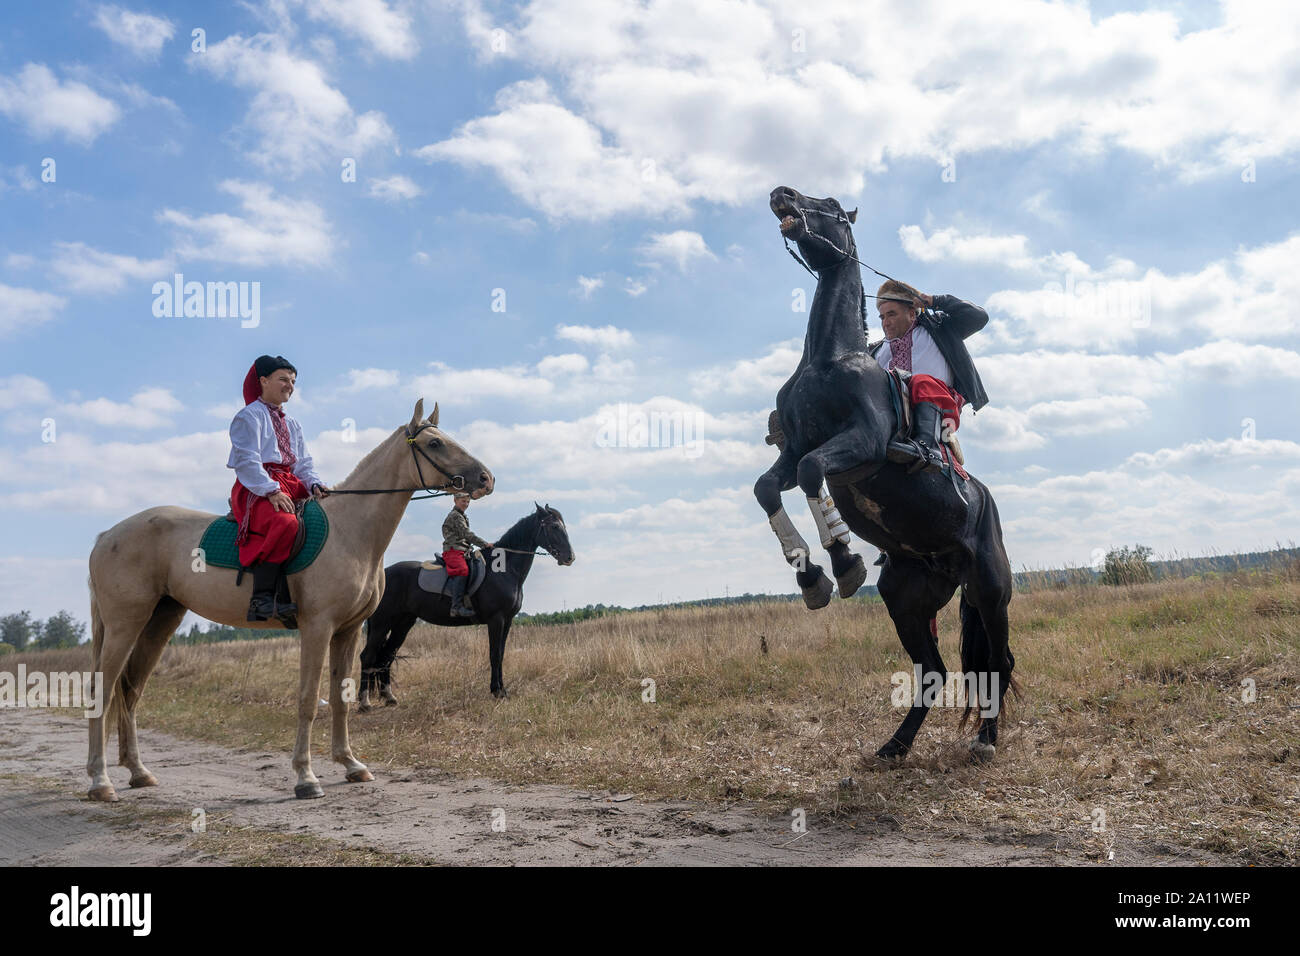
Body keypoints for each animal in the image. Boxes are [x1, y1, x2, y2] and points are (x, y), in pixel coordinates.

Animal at [86, 399, 494, 801]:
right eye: (435, 444)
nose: (486, 479)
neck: (350, 532)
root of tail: (108, 535)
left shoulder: (347, 631)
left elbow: (341, 697)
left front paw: (351, 764)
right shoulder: (317, 628)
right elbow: (309, 699)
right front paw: (305, 776)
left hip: (160, 621)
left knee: (130, 690)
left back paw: (138, 772)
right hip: (125, 625)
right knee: (103, 691)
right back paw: (100, 781)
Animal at [357, 503, 575, 706]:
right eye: (554, 526)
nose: (570, 557)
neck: (503, 569)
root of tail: (379, 577)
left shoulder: (508, 621)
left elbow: (501, 653)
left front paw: (503, 690)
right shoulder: (496, 620)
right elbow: (495, 654)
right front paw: (497, 691)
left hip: (403, 623)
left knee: (386, 655)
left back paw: (389, 696)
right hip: (381, 623)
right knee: (368, 656)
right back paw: (364, 702)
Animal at [753, 186, 1016, 763]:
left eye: (830, 206)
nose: (782, 194)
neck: (831, 360)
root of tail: (983, 500)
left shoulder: (864, 446)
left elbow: (811, 471)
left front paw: (843, 561)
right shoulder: (797, 447)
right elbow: (769, 486)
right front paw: (810, 575)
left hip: (989, 588)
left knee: (997, 663)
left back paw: (985, 740)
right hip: (906, 597)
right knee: (933, 671)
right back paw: (895, 745)